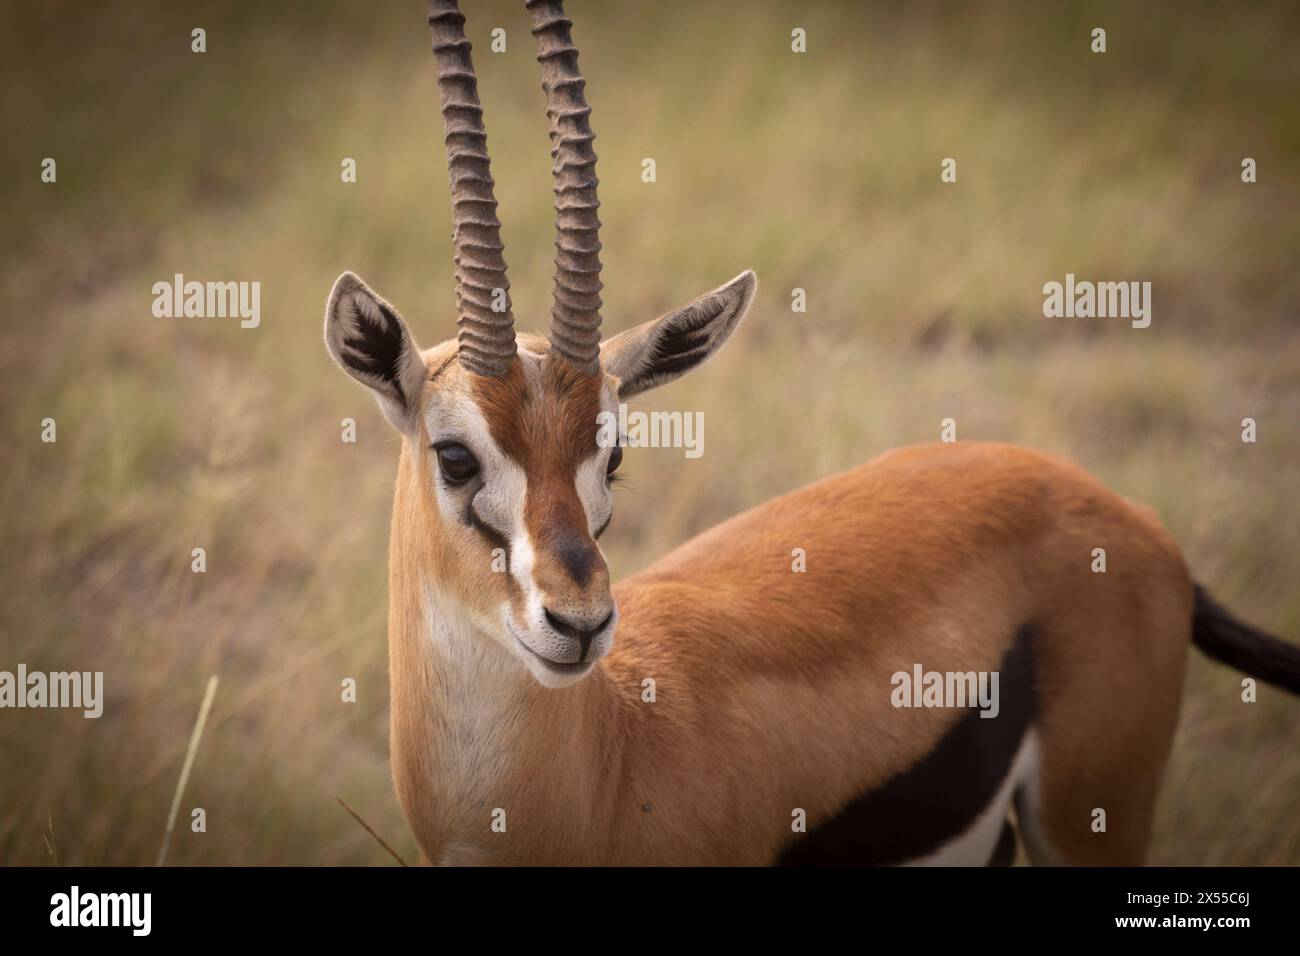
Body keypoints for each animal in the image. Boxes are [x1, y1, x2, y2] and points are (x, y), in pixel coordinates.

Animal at [324, 0, 1300, 866]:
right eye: (455, 455)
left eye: (614, 453)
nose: (581, 622)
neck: (613, 756)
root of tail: (1127, 515)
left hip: (1093, 826)